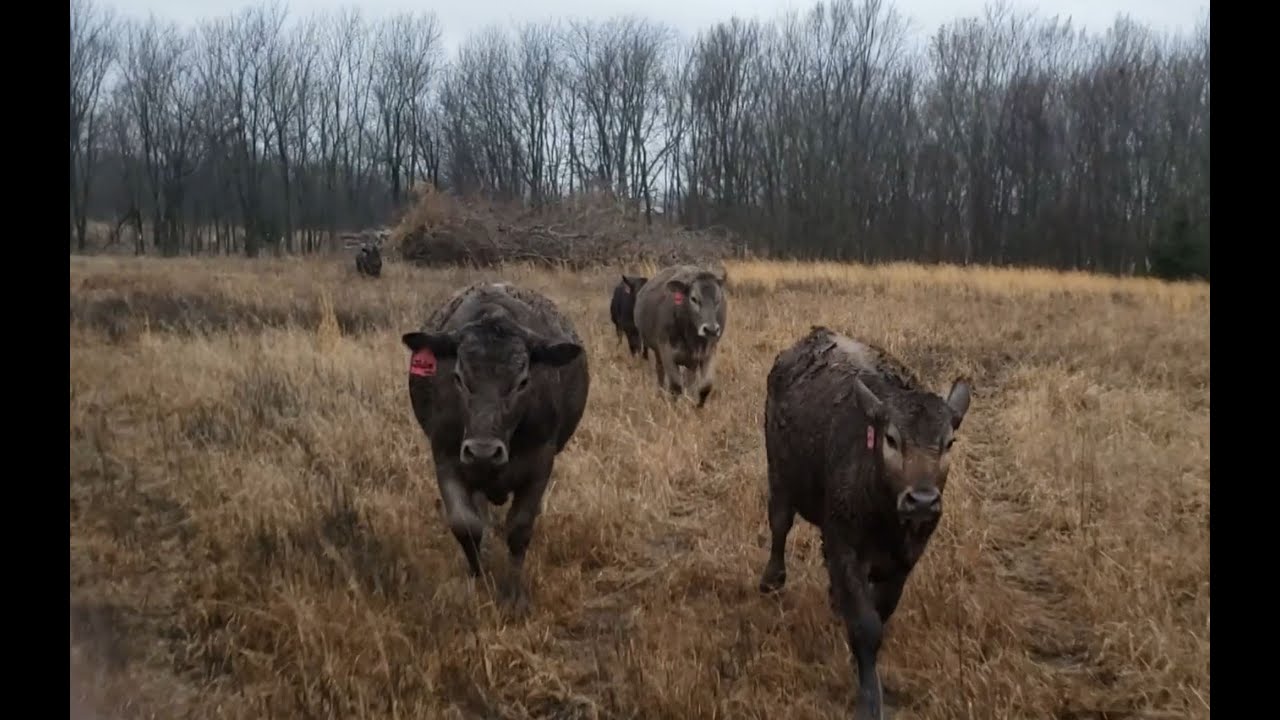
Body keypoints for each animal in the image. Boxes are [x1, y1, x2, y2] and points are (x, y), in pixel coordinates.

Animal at [400, 281, 589, 614]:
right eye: (458, 377)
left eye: (523, 381)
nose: (483, 452)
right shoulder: (446, 457)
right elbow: (465, 525)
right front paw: (479, 578)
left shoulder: (541, 464)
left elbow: (519, 528)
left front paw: (513, 594)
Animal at [632, 264, 728, 408]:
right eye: (694, 299)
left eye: (718, 300)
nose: (710, 329)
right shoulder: (666, 351)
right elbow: (676, 385)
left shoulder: (709, 351)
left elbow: (706, 386)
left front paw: (697, 406)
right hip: (658, 352)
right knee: (660, 371)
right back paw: (660, 391)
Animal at [758, 325, 972, 720]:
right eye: (891, 439)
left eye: (948, 442)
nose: (922, 501)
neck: (884, 516)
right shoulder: (844, 547)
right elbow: (866, 626)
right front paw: (870, 698)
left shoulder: (904, 561)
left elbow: (881, 613)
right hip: (778, 473)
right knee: (779, 524)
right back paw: (772, 578)